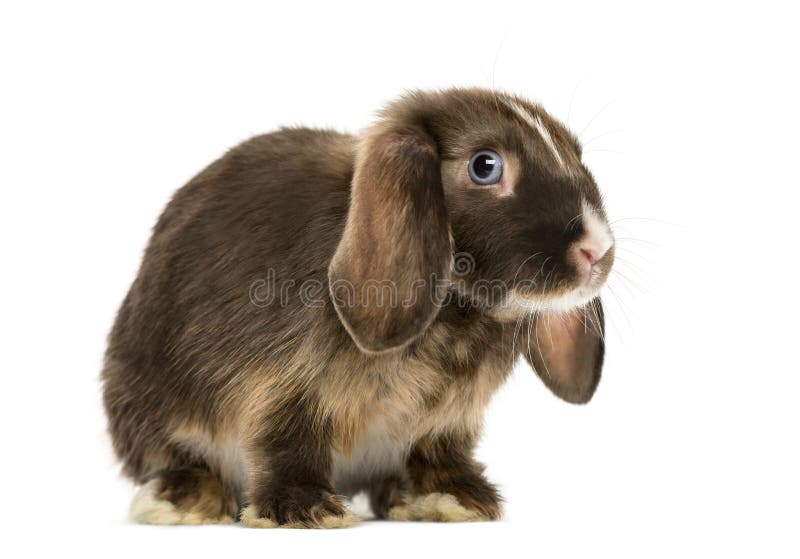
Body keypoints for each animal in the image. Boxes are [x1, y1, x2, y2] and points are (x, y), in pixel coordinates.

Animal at [102, 88, 614, 528]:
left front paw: (454, 499)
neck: (456, 315)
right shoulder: (283, 387)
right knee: (175, 457)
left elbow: (437, 453)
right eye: (485, 166)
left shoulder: (447, 420)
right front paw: (304, 510)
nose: (597, 250)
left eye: (576, 153)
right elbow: (285, 443)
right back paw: (184, 500)